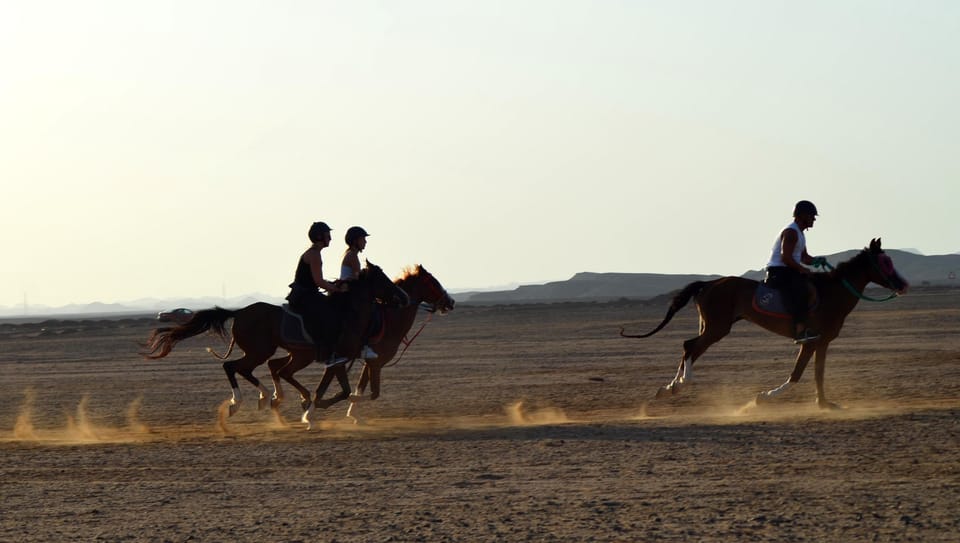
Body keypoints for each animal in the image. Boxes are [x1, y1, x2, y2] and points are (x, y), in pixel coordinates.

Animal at [140, 261, 409, 419]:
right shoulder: (339, 357)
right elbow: (341, 390)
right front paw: (313, 407)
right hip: (263, 351)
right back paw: (244, 401)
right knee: (235, 366)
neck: (348, 313)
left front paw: (312, 406)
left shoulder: (340, 358)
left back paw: (268, 397)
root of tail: (239, 312)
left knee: (258, 369)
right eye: (384, 278)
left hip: (280, 353)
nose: (403, 297)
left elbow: (342, 388)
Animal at [266, 265, 455, 422]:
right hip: (303, 356)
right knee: (281, 370)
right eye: (433, 281)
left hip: (297, 354)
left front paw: (352, 413)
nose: (450, 302)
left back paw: (276, 402)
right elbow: (371, 392)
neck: (391, 321)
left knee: (274, 365)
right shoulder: (374, 362)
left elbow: (361, 387)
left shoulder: (369, 362)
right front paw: (312, 411)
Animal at [619, 239, 909, 409]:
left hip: (712, 326)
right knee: (689, 346)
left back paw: (670, 388)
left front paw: (825, 404)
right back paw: (679, 386)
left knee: (690, 346)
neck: (832, 293)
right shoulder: (810, 340)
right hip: (717, 327)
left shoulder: (822, 342)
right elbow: (796, 374)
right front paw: (762, 398)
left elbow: (818, 374)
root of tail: (709, 284)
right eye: (885, 262)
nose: (903, 284)